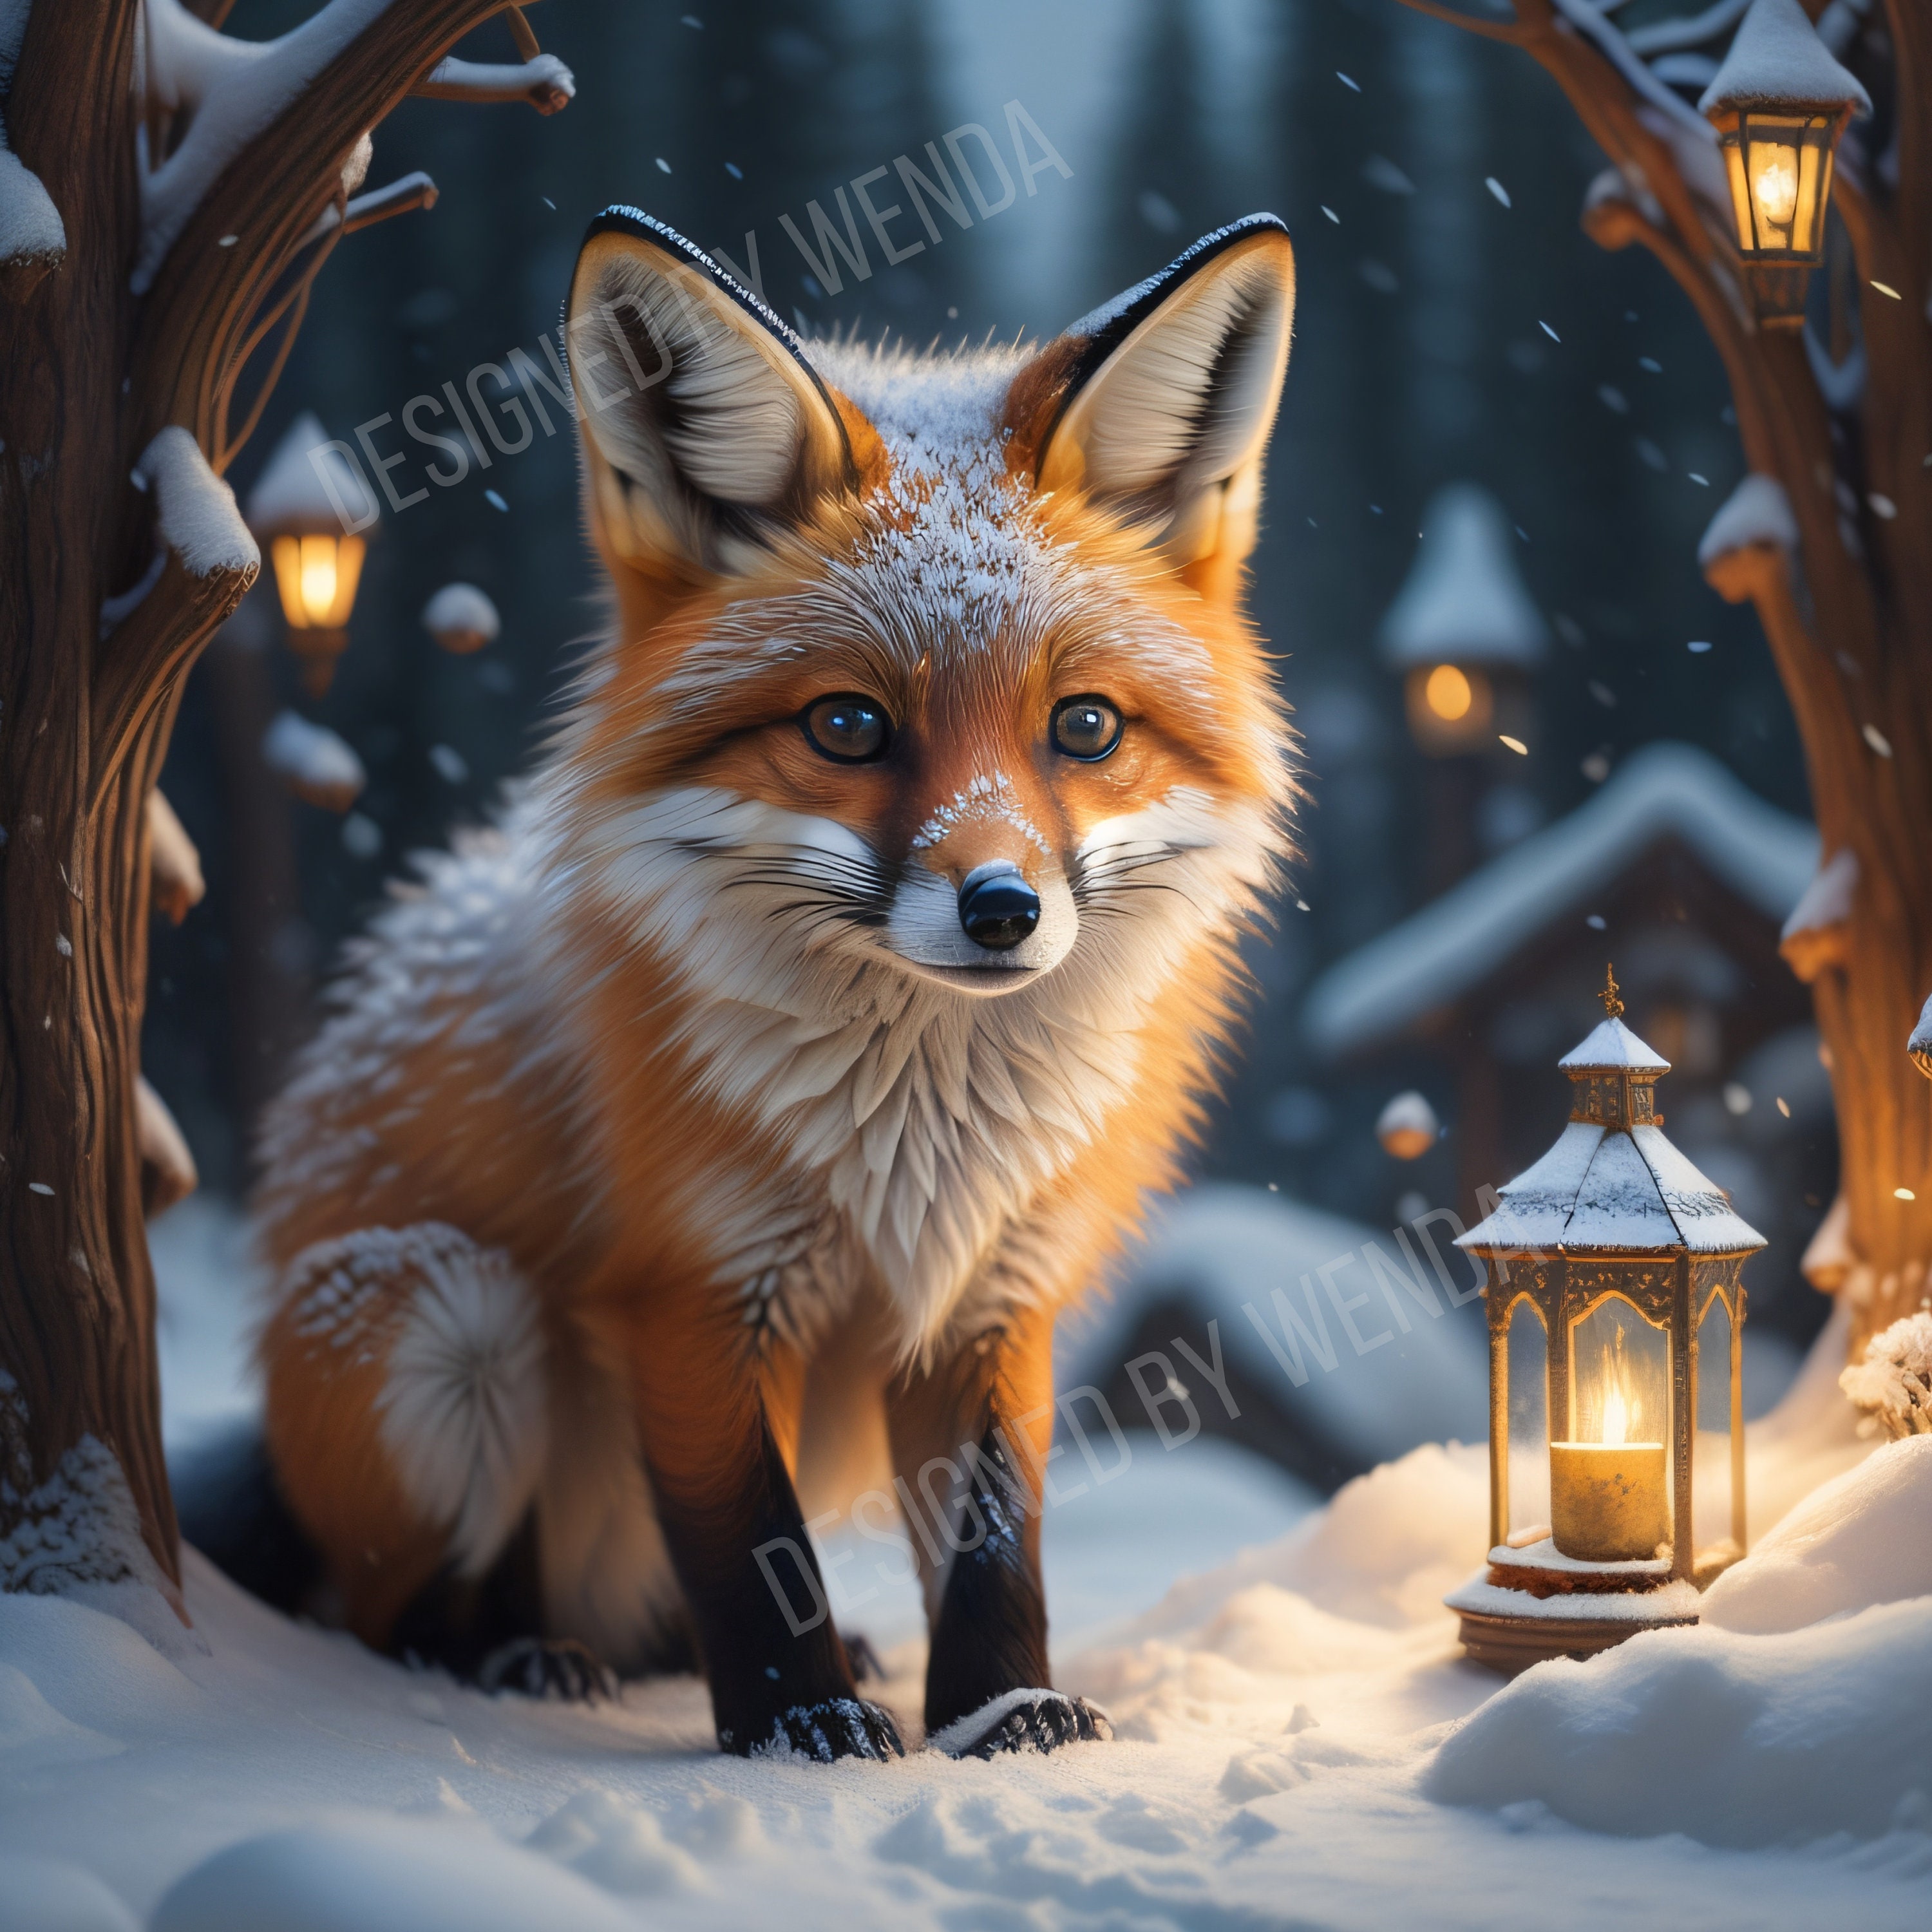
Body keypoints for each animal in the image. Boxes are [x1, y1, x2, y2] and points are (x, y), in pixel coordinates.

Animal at [199, 207, 1298, 1763]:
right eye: (847, 727)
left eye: (1085, 727)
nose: (1004, 910)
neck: (922, 1132)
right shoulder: (697, 1291)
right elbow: (746, 1540)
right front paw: (801, 1729)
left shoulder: (994, 1294)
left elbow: (993, 1543)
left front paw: (999, 1713)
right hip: (448, 1316)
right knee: (388, 1610)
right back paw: (515, 1658)